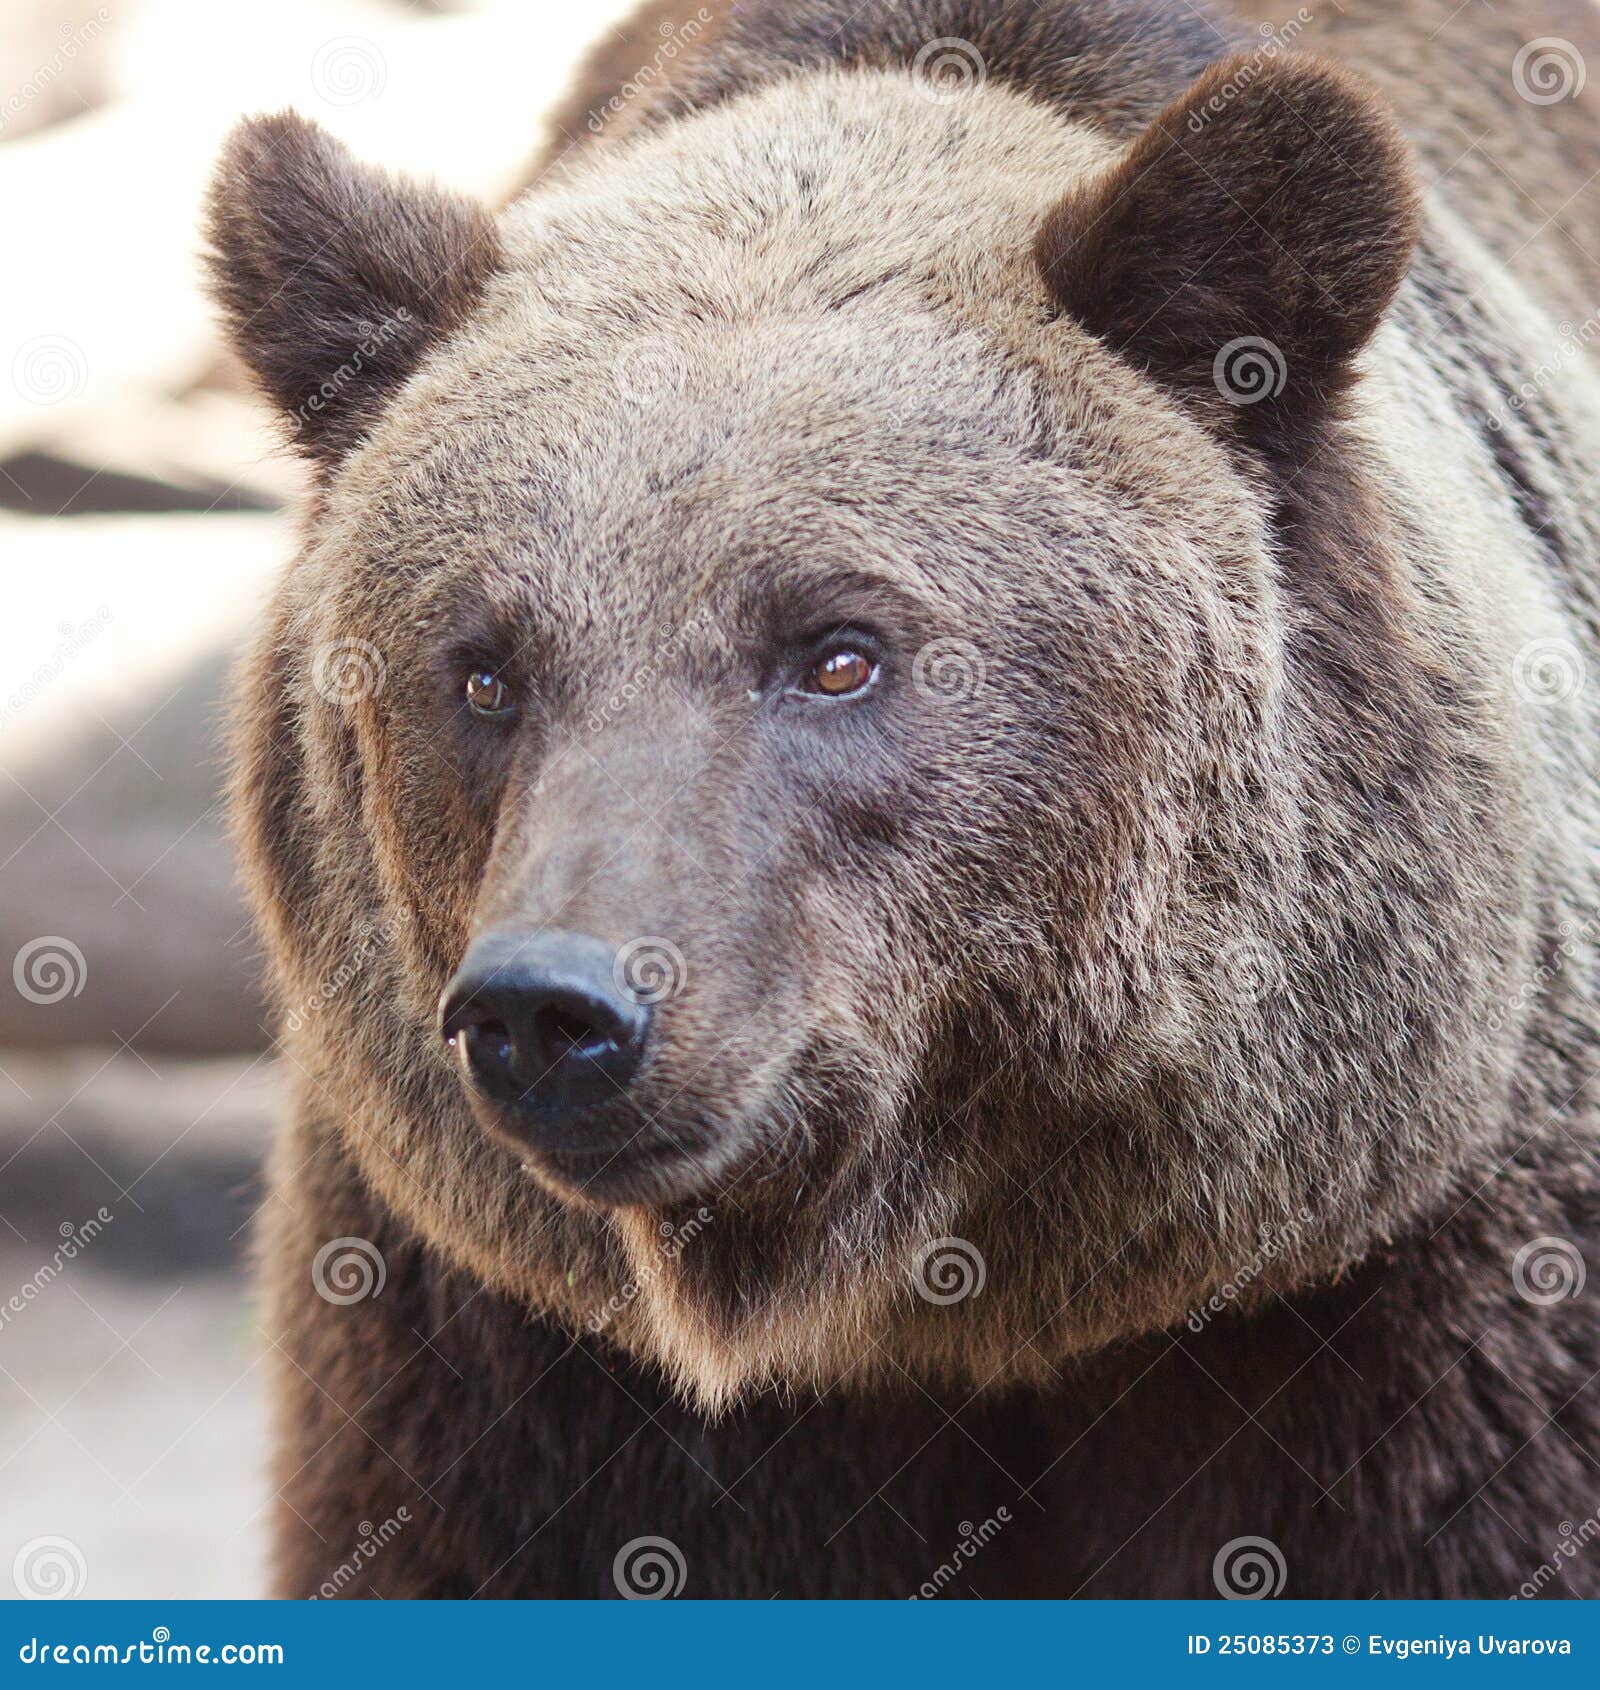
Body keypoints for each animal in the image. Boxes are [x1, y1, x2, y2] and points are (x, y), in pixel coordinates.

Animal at [204, 0, 1600, 1598]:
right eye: (483, 667)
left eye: (837, 650)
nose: (553, 1007)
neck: (937, 1310)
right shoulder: (507, 1357)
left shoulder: (1399, 1306)